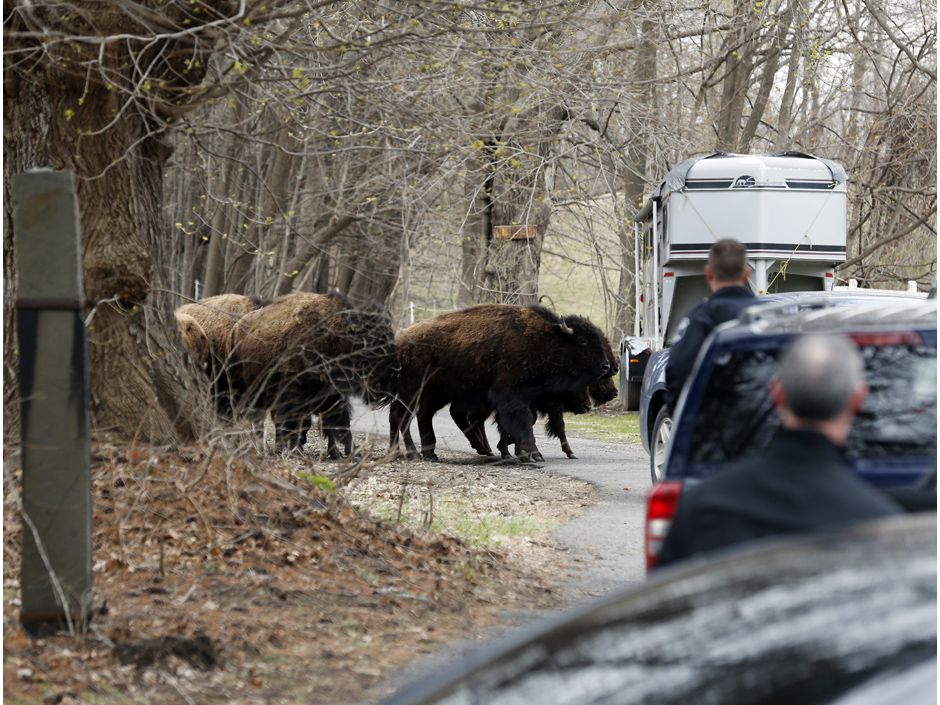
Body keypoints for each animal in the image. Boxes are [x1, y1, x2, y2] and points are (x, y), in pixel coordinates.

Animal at [390, 304, 613, 462]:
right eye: (583, 341)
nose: (606, 366)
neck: (545, 341)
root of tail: (401, 340)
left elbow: (523, 422)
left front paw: (519, 452)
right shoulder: (510, 395)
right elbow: (524, 421)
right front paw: (532, 454)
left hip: (436, 395)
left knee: (420, 416)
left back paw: (423, 453)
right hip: (413, 392)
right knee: (402, 417)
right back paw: (411, 453)